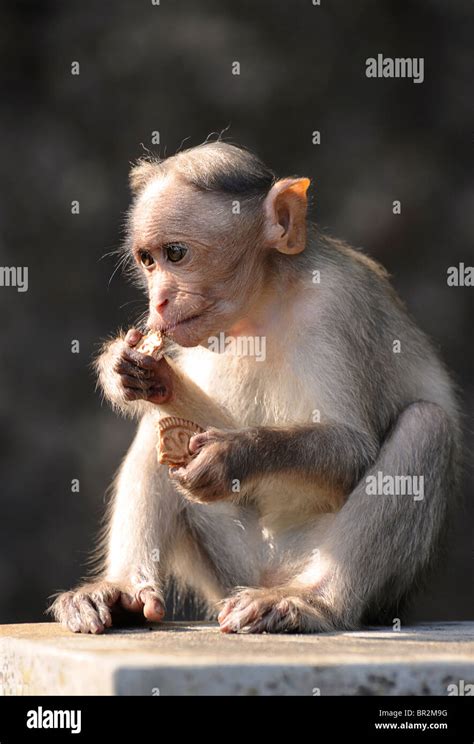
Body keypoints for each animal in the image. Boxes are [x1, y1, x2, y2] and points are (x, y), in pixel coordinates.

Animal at [49, 141, 460, 634]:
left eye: (176, 253)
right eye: (148, 260)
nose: (158, 302)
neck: (262, 303)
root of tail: (272, 571)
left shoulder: (335, 307)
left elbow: (355, 448)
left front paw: (234, 454)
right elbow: (177, 419)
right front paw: (139, 374)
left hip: (366, 582)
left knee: (427, 426)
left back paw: (310, 600)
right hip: (229, 564)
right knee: (156, 430)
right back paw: (124, 589)